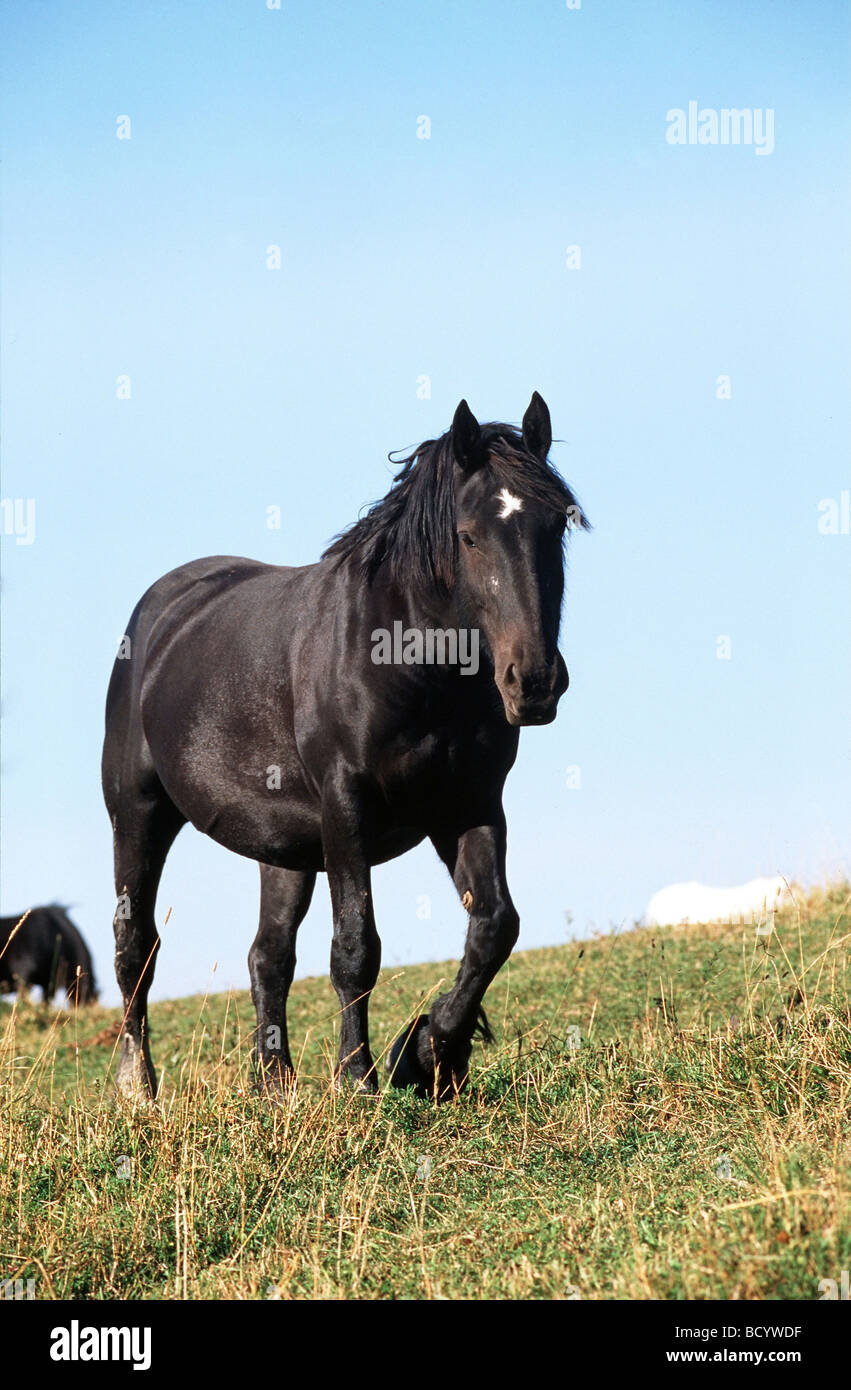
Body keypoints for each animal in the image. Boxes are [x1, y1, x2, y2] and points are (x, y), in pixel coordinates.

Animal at [101, 393, 588, 1100]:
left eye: (557, 528)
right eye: (469, 535)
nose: (535, 682)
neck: (410, 664)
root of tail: (160, 610)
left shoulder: (469, 805)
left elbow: (495, 926)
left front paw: (429, 1055)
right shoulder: (347, 804)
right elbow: (356, 945)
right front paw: (358, 1078)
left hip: (284, 847)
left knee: (268, 955)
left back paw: (274, 1085)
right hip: (138, 816)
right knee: (134, 947)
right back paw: (138, 1088)